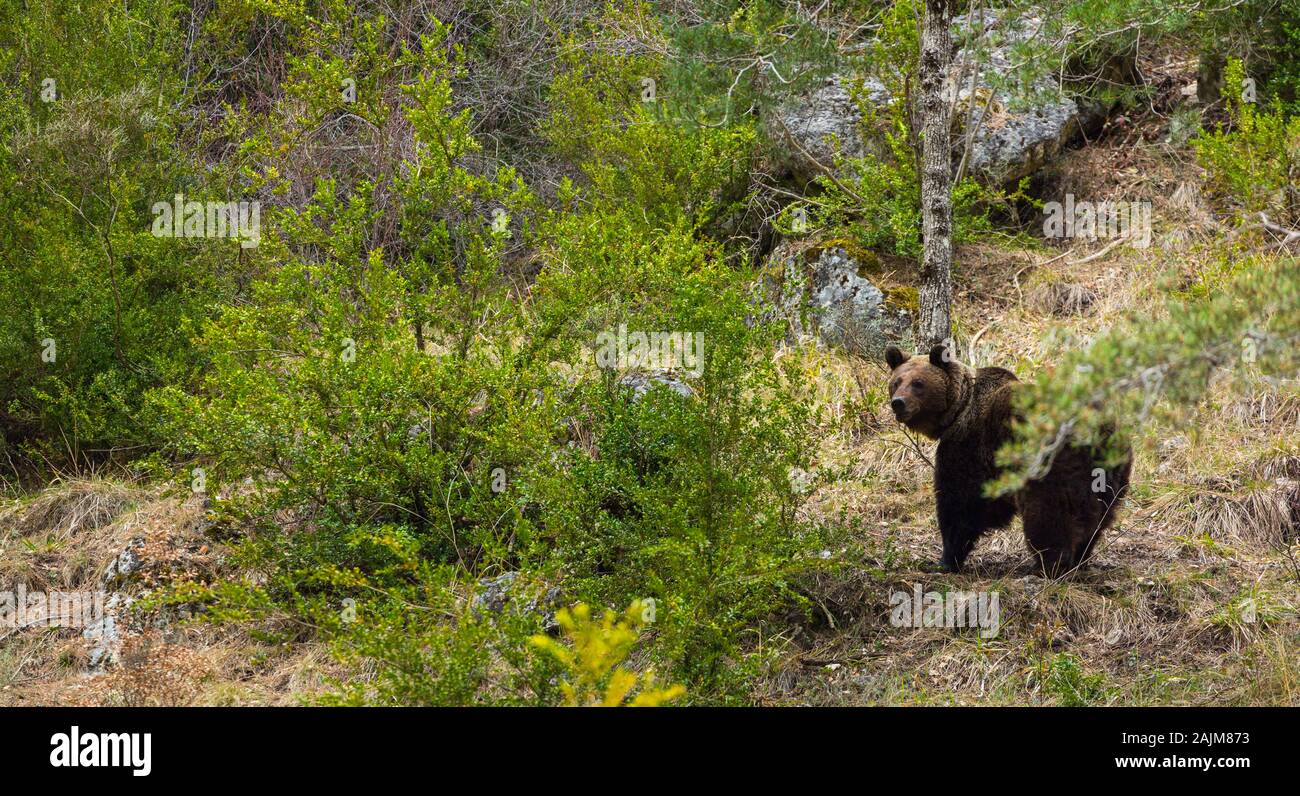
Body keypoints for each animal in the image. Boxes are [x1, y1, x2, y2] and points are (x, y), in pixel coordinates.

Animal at [884, 343, 1131, 576]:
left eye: (918, 383)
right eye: (896, 382)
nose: (898, 402)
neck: (959, 409)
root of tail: (1100, 432)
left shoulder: (970, 446)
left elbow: (959, 503)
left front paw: (945, 561)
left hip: (1052, 464)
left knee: (1048, 515)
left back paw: (1047, 567)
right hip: (1111, 474)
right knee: (1097, 519)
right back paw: (1080, 559)